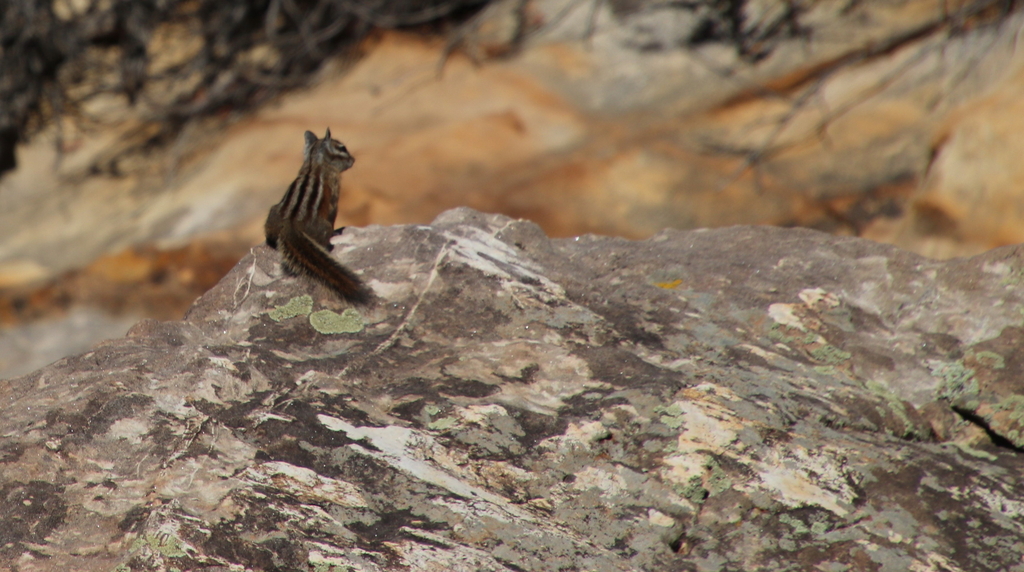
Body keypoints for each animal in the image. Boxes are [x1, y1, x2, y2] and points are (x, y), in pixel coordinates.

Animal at [264, 129, 372, 305]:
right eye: (342, 148)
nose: (353, 159)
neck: (314, 161)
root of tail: (291, 224)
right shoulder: (334, 192)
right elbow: (333, 213)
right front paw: (337, 231)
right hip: (323, 227)